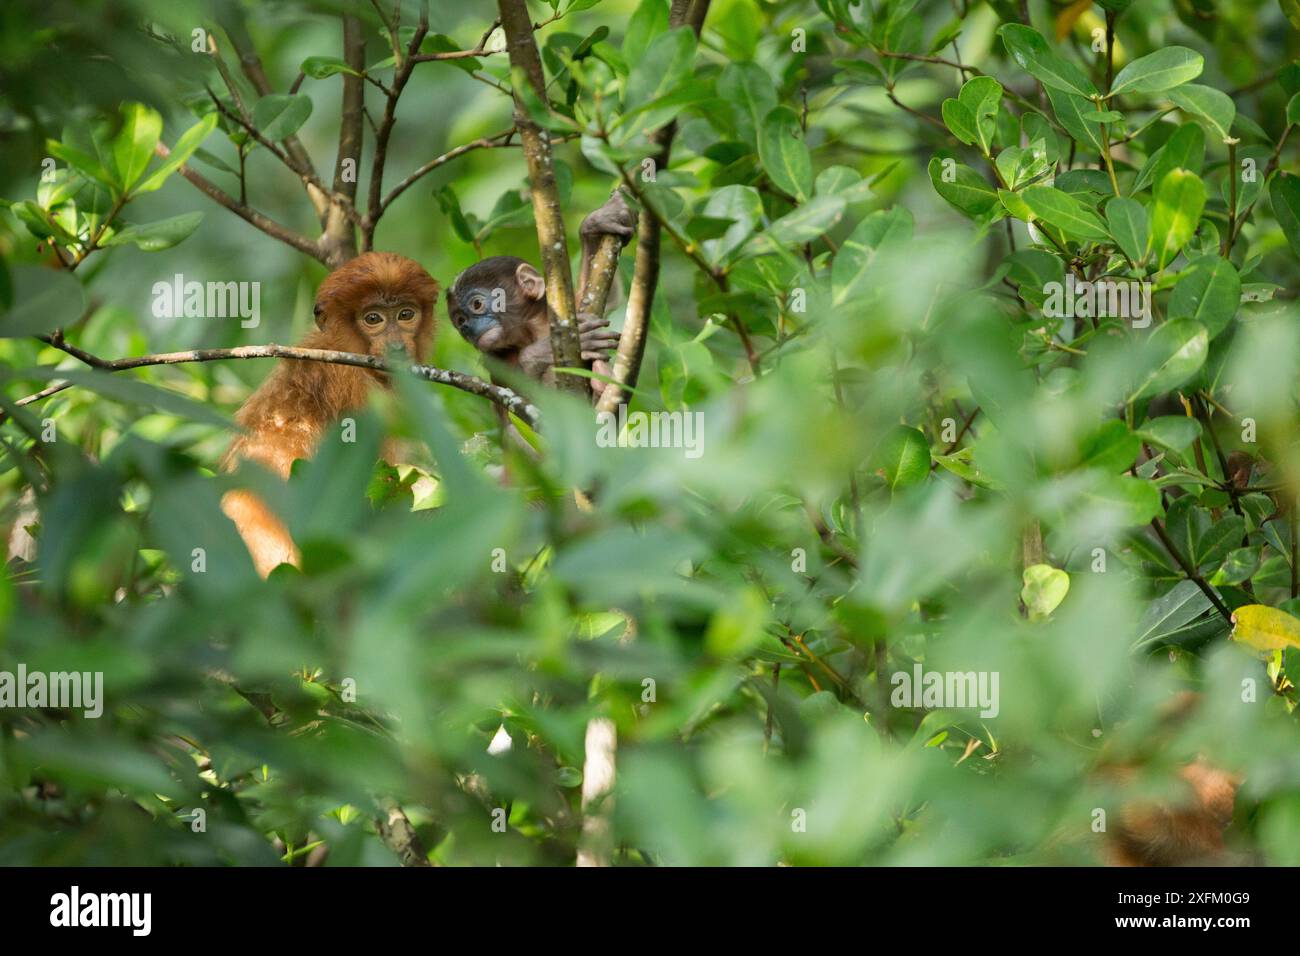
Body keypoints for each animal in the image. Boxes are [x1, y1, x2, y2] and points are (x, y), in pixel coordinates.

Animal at [445, 192, 635, 399]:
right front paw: (544, 350)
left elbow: (607, 297)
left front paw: (596, 224)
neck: (533, 329)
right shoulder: (494, 359)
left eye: (477, 304)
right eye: (460, 321)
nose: (467, 328)